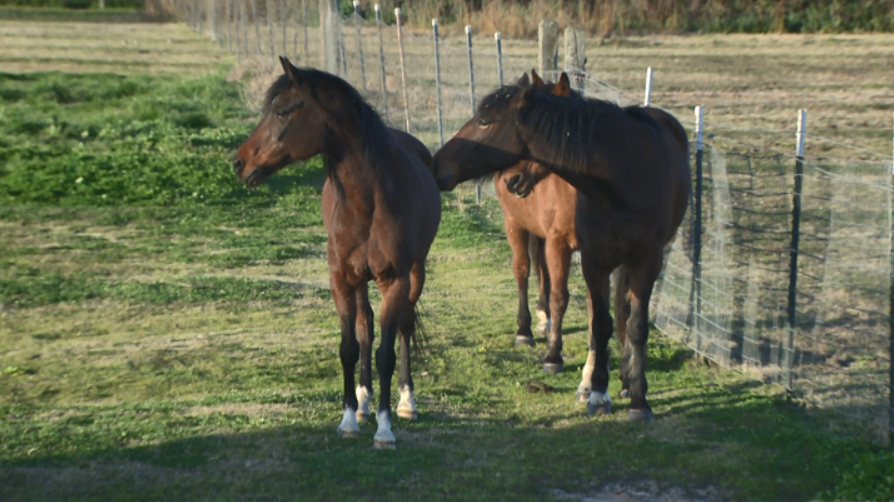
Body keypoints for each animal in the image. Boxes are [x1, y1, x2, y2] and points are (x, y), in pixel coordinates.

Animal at [233, 57, 441, 448]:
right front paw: (348, 419)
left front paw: (385, 429)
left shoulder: (395, 281)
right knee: (365, 328)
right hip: (359, 280)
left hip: (415, 273)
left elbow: (387, 354)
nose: (238, 163)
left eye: (282, 111)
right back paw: (363, 402)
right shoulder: (341, 280)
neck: (368, 200)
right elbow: (350, 346)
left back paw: (406, 401)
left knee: (404, 326)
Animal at [432, 77, 690, 422]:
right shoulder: (584, 254)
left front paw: (636, 397)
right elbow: (591, 318)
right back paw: (527, 330)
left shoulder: (645, 260)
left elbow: (632, 323)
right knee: (524, 270)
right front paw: (592, 388)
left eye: (485, 121)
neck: (622, 178)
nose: (436, 163)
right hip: (516, 223)